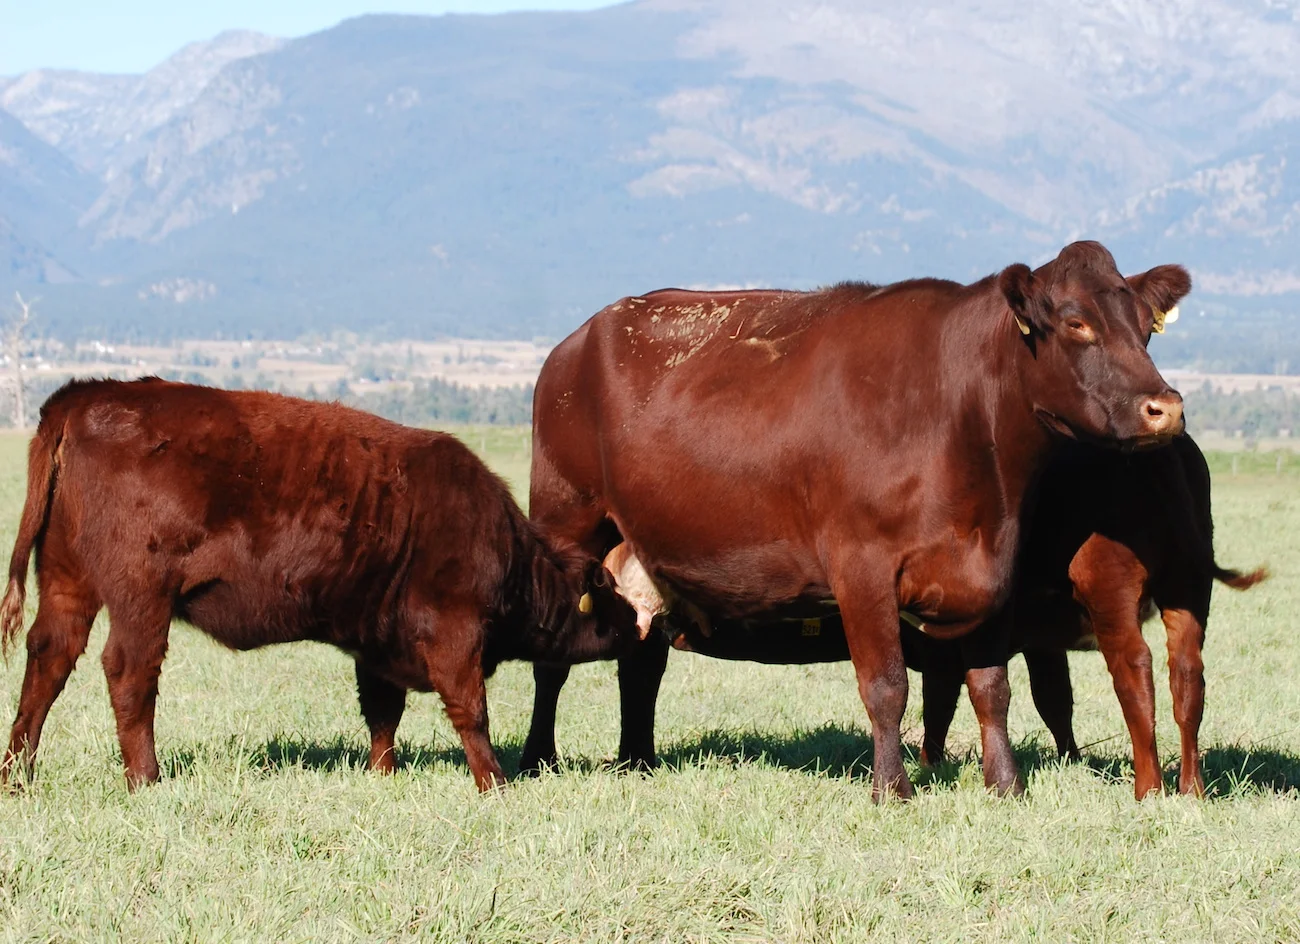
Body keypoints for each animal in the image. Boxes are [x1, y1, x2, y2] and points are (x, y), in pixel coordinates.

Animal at [0, 378, 612, 791]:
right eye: (612, 598)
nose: (636, 629)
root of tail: (82, 396)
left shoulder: (376, 643)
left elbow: (383, 712)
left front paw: (383, 774)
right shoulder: (454, 633)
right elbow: (470, 709)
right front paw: (494, 783)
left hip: (69, 586)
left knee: (49, 659)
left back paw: (17, 774)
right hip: (141, 598)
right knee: (130, 672)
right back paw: (146, 778)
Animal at [518, 240, 1192, 801]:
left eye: (1144, 328)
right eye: (1077, 322)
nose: (1165, 408)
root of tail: (579, 339)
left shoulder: (993, 574)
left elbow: (991, 687)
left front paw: (1005, 785)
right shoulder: (861, 567)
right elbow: (886, 685)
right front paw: (892, 789)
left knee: (641, 662)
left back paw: (639, 760)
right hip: (568, 524)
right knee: (553, 659)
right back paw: (535, 760)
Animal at [905, 434, 1265, 798]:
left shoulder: (944, 648)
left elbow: (938, 705)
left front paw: (931, 763)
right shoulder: (1042, 643)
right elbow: (1054, 698)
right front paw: (1072, 761)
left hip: (1109, 586)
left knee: (1134, 668)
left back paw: (1149, 787)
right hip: (1188, 583)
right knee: (1187, 674)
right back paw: (1191, 787)